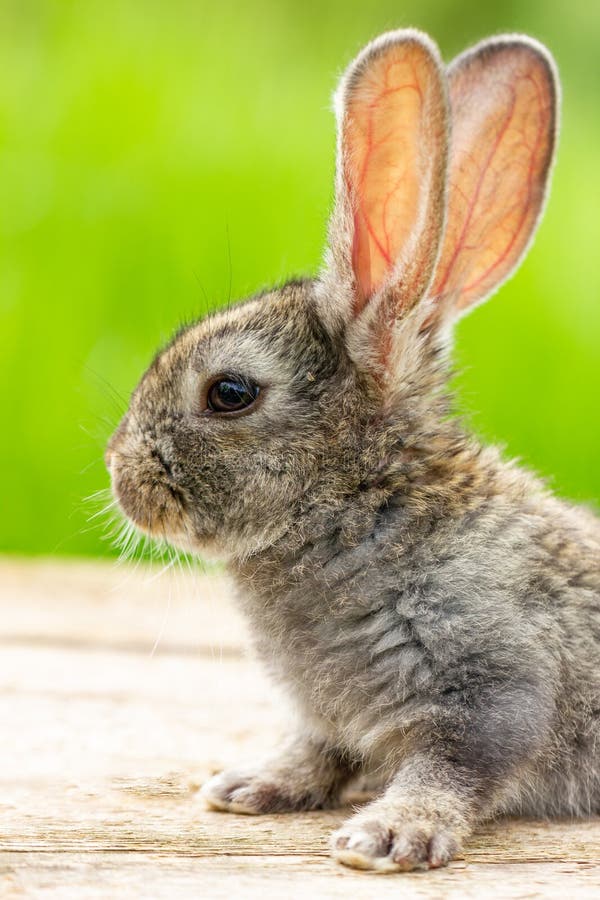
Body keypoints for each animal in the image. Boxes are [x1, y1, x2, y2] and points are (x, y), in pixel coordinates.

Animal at [106, 28, 600, 873]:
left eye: (229, 393)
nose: (118, 471)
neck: (366, 502)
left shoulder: (494, 693)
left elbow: (450, 768)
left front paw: (388, 835)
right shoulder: (328, 719)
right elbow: (318, 751)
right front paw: (250, 785)